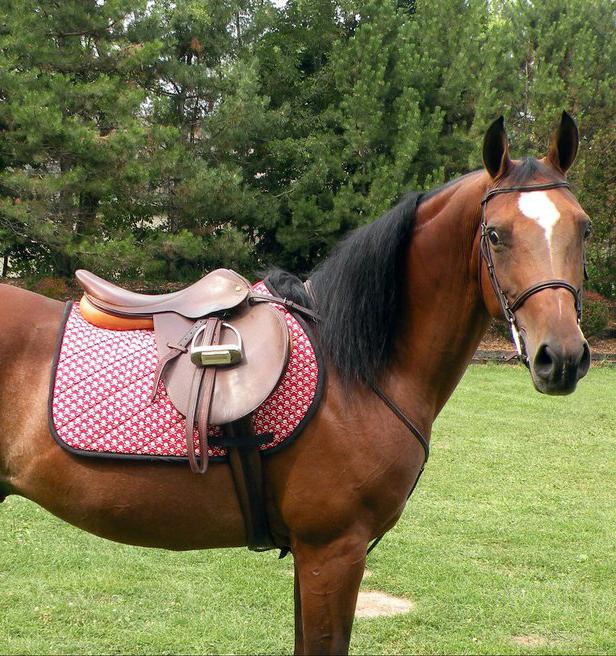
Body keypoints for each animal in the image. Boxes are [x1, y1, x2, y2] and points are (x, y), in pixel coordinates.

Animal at [0, 112, 591, 654]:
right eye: (496, 235)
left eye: (584, 228)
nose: (561, 358)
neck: (356, 369)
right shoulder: (332, 551)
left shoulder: (317, 556)